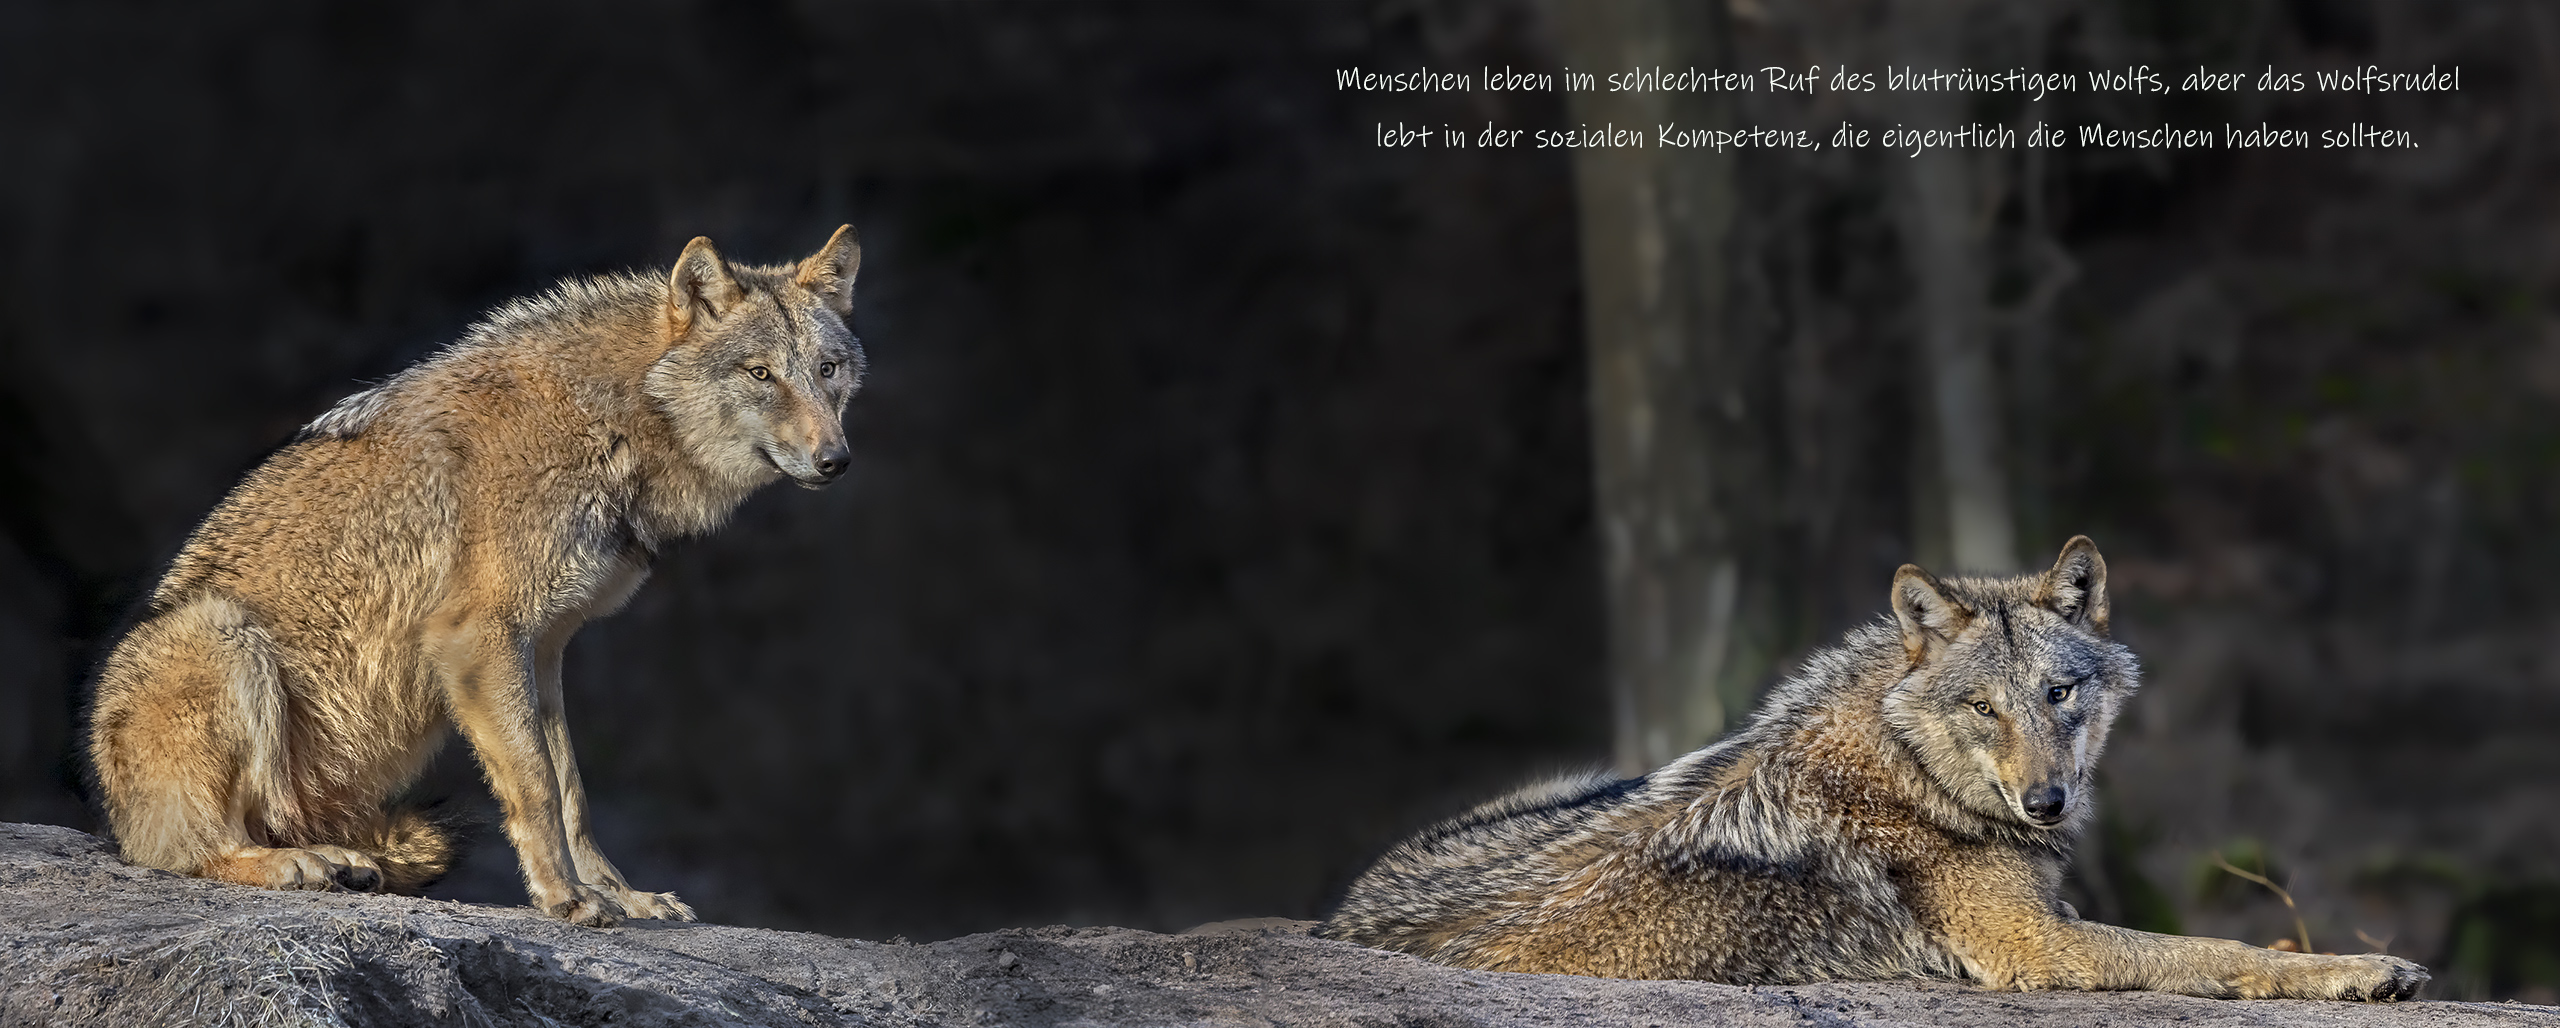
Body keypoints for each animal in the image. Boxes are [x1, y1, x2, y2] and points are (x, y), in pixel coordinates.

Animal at [87, 227, 865, 926]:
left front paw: (622, 896)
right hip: (222, 635)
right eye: (761, 374)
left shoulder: (546, 648)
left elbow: (573, 794)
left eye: (828, 370)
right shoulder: (479, 639)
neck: (610, 418)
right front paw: (565, 900)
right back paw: (296, 864)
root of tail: (119, 822)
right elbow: (537, 787)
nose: (837, 460)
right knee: (190, 853)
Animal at [1318, 538, 2428, 1001]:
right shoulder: (2035, 942)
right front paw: (2362, 968)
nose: (2046, 800)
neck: (1913, 768)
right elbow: (2217, 949)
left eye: (2058, 694)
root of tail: (1339, 915)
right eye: (1984, 708)